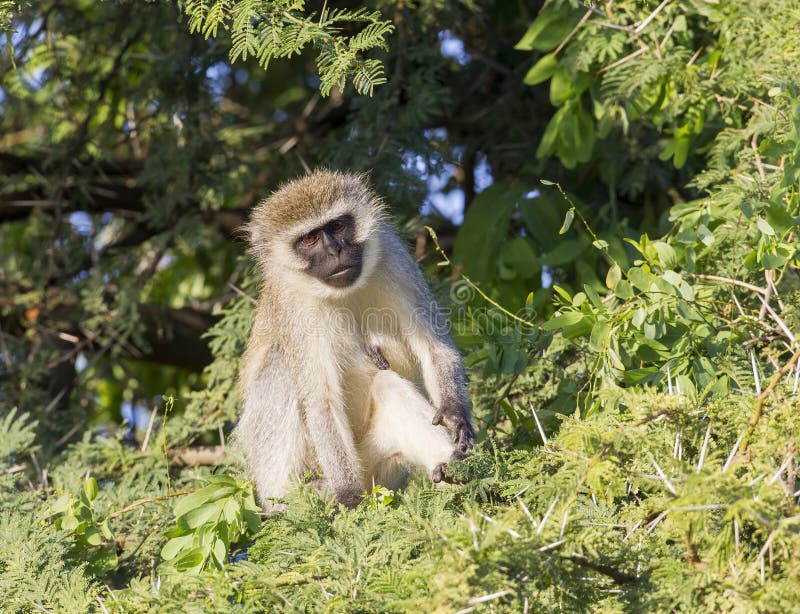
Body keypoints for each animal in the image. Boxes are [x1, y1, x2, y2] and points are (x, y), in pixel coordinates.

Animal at [237, 170, 474, 509]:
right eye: (309, 239)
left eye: (337, 226)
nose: (335, 251)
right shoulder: (293, 305)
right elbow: (320, 401)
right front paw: (349, 497)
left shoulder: (393, 256)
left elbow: (433, 347)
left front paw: (455, 414)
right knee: (279, 365)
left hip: (378, 470)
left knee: (388, 386)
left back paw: (456, 472)